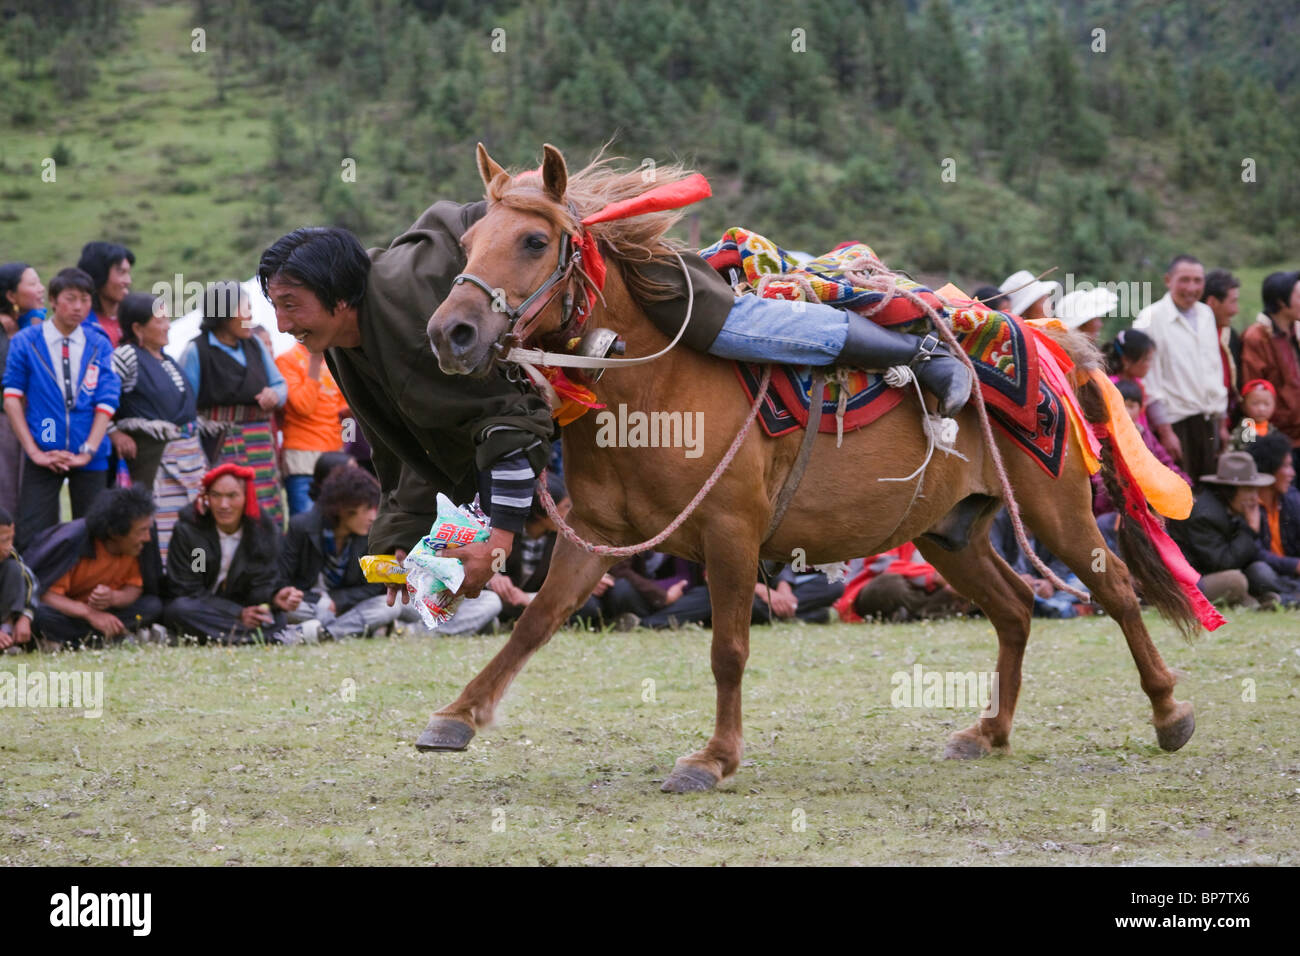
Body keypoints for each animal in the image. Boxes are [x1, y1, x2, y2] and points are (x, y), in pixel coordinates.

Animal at [420, 142, 1198, 793]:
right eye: (469, 244)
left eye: (533, 240)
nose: (451, 332)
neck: (651, 387)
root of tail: (1044, 342)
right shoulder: (597, 537)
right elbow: (536, 622)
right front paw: (457, 716)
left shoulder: (730, 533)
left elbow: (728, 649)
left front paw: (714, 758)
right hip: (950, 532)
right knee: (1013, 607)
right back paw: (990, 731)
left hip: (1056, 509)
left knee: (1117, 587)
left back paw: (1168, 712)